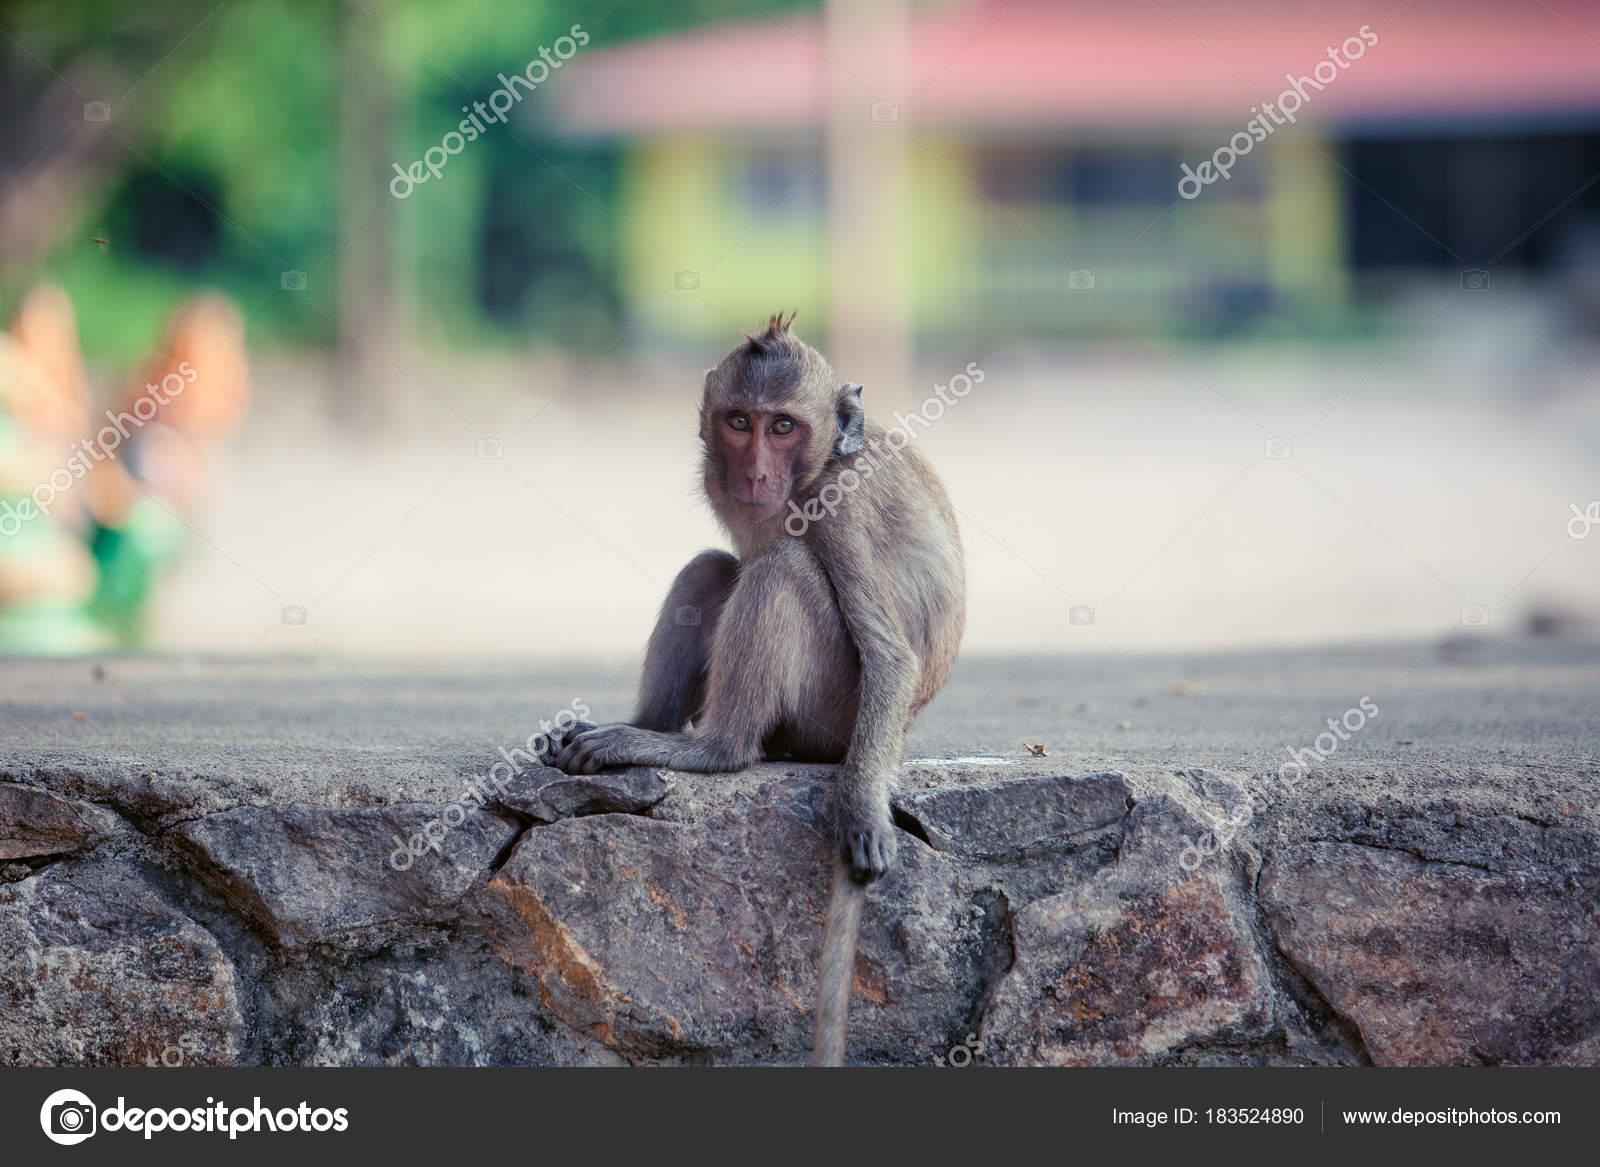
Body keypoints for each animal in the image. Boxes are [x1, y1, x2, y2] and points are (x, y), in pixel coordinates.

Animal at [547, 312, 965, 1065]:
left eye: (784, 426)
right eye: (740, 421)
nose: (755, 471)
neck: (824, 463)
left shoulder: (842, 509)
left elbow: (890, 654)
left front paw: (863, 811)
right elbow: (725, 567)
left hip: (831, 719)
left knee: (783, 569)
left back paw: (713, 748)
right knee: (716, 567)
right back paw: (648, 725)